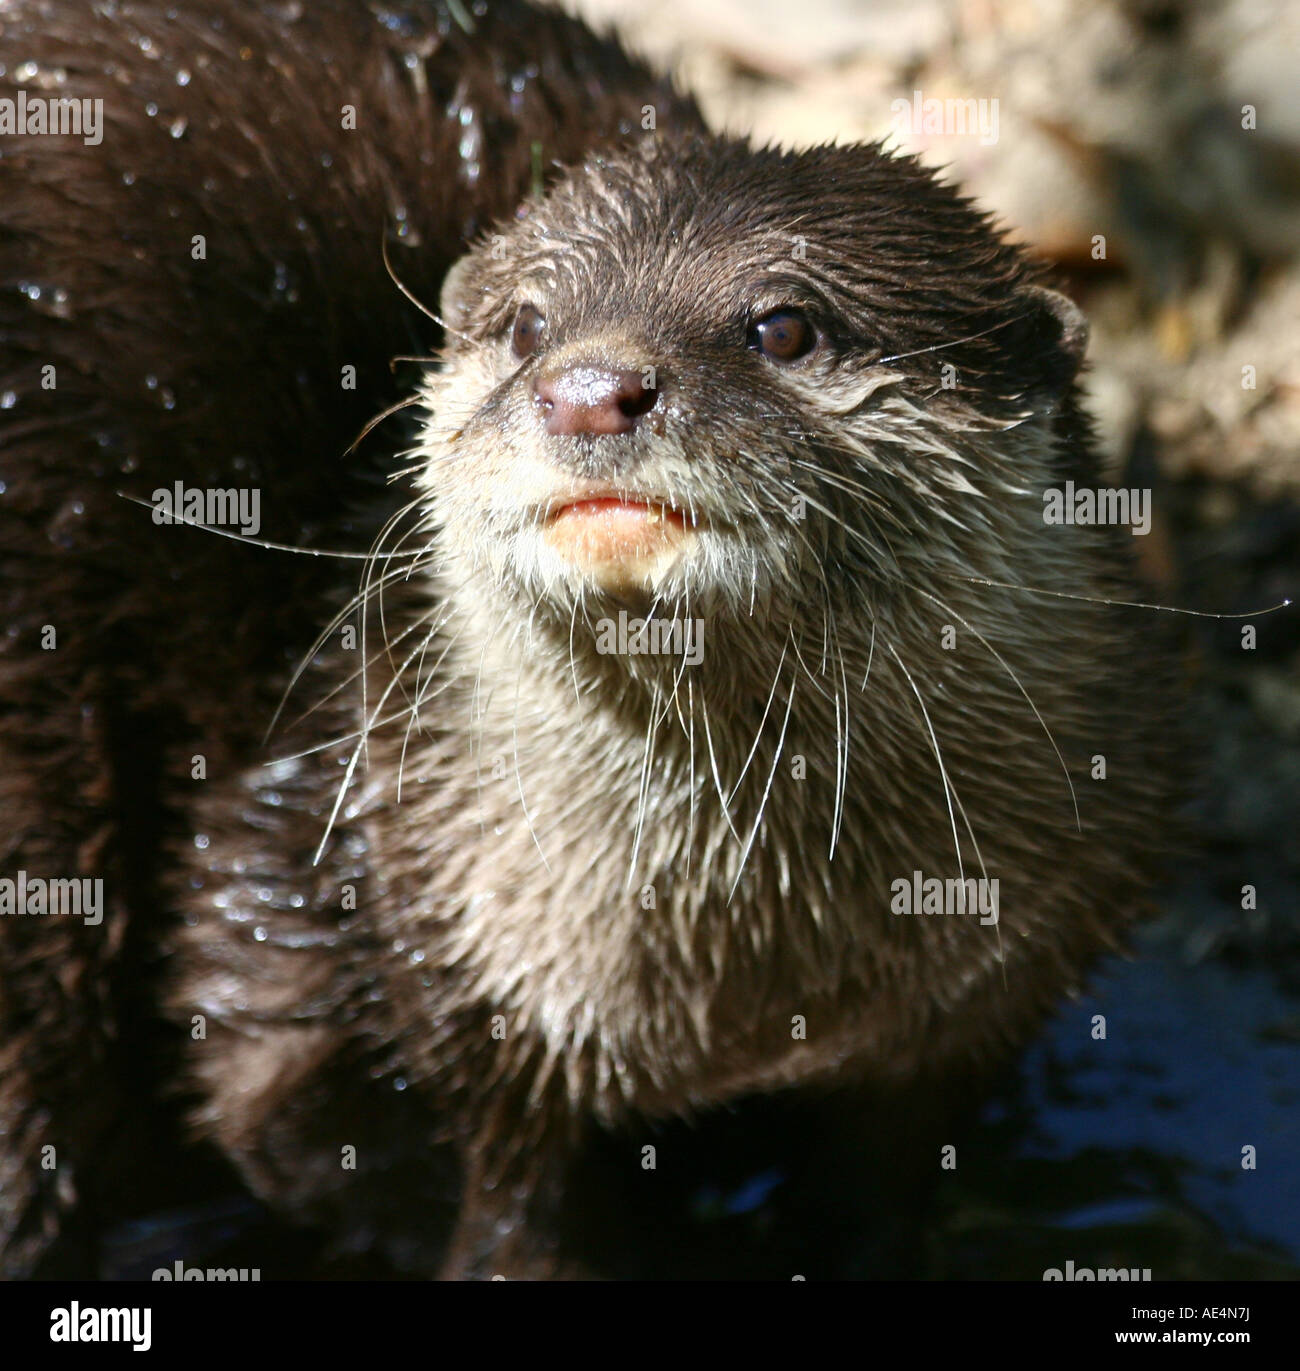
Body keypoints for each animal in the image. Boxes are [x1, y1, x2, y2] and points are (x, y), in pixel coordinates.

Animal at [0, 0, 1177, 1278]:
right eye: (525, 326)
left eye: (784, 325)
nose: (589, 385)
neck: (741, 990)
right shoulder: (332, 899)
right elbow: (356, 1135)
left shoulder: (1005, 977)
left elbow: (878, 1177)